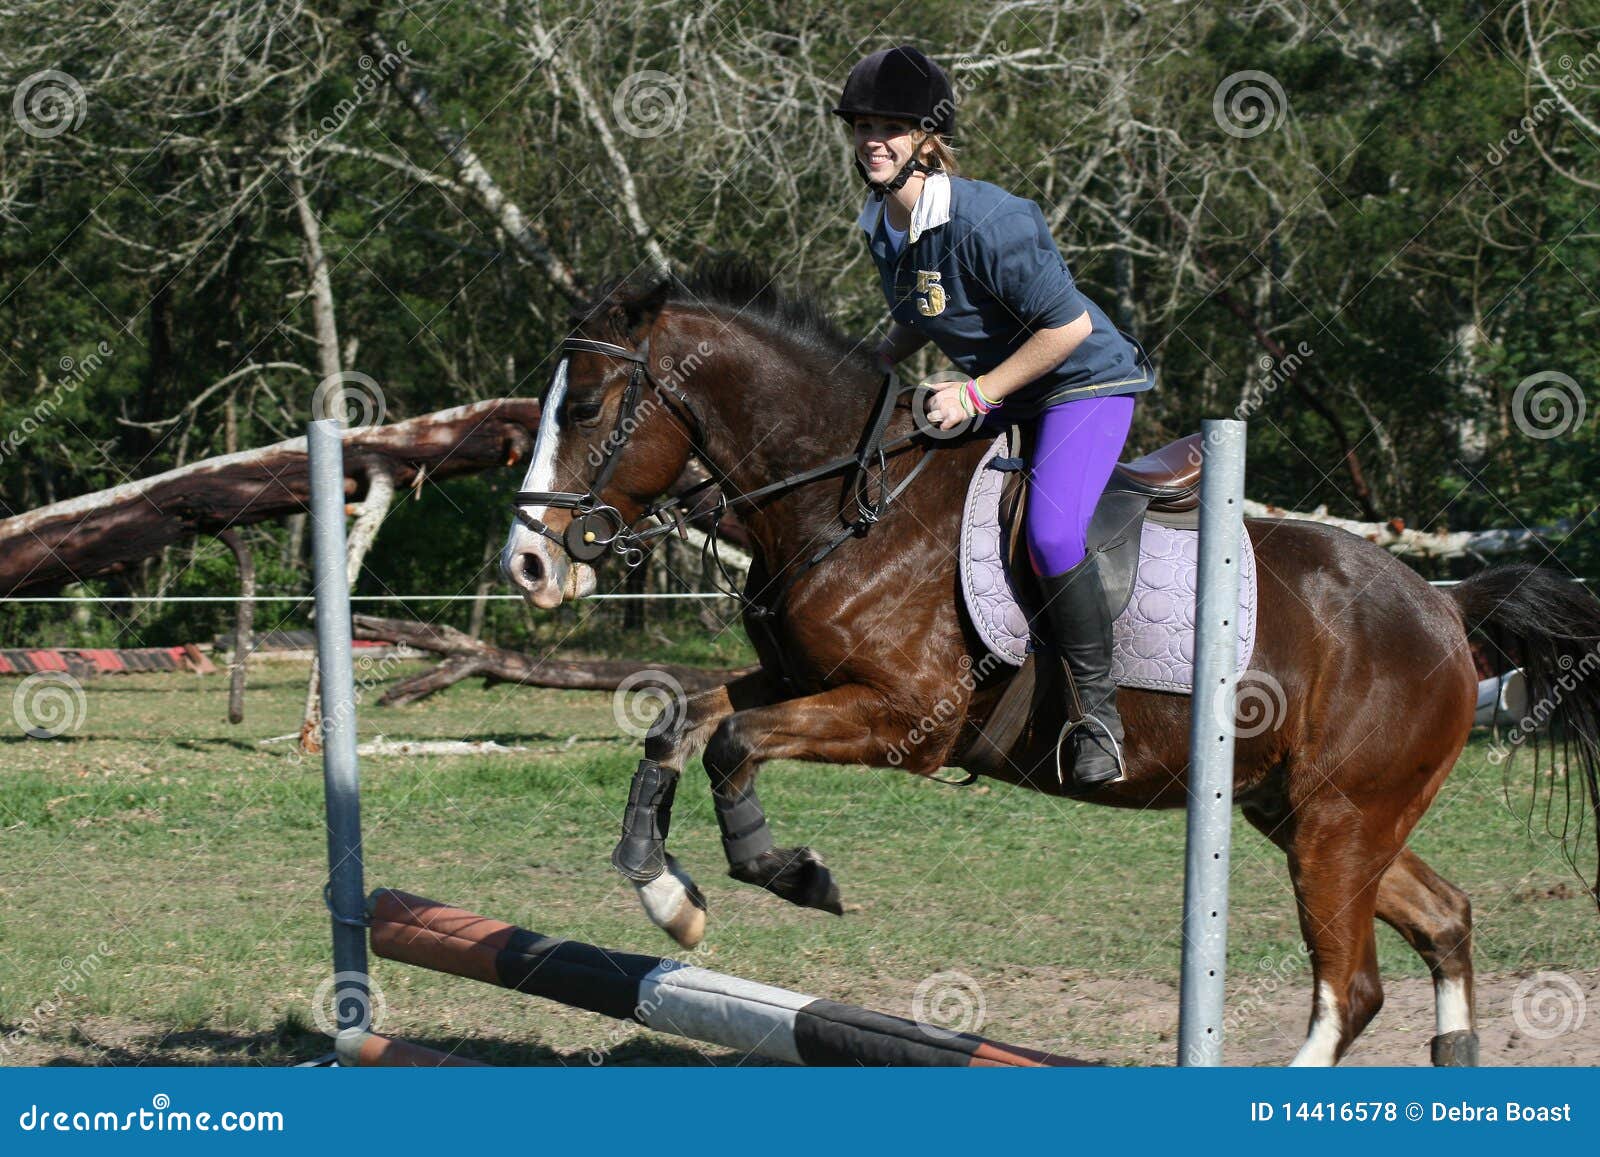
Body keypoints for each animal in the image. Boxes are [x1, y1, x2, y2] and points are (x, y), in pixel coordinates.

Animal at [501, 257, 1600, 1066]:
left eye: (586, 406)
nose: (528, 563)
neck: (847, 500)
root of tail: (1445, 605)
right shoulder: (799, 682)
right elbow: (682, 722)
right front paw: (666, 894)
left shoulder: (904, 717)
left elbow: (733, 743)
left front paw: (791, 873)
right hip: (1306, 810)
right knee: (1444, 918)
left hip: (1339, 820)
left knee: (1352, 986)